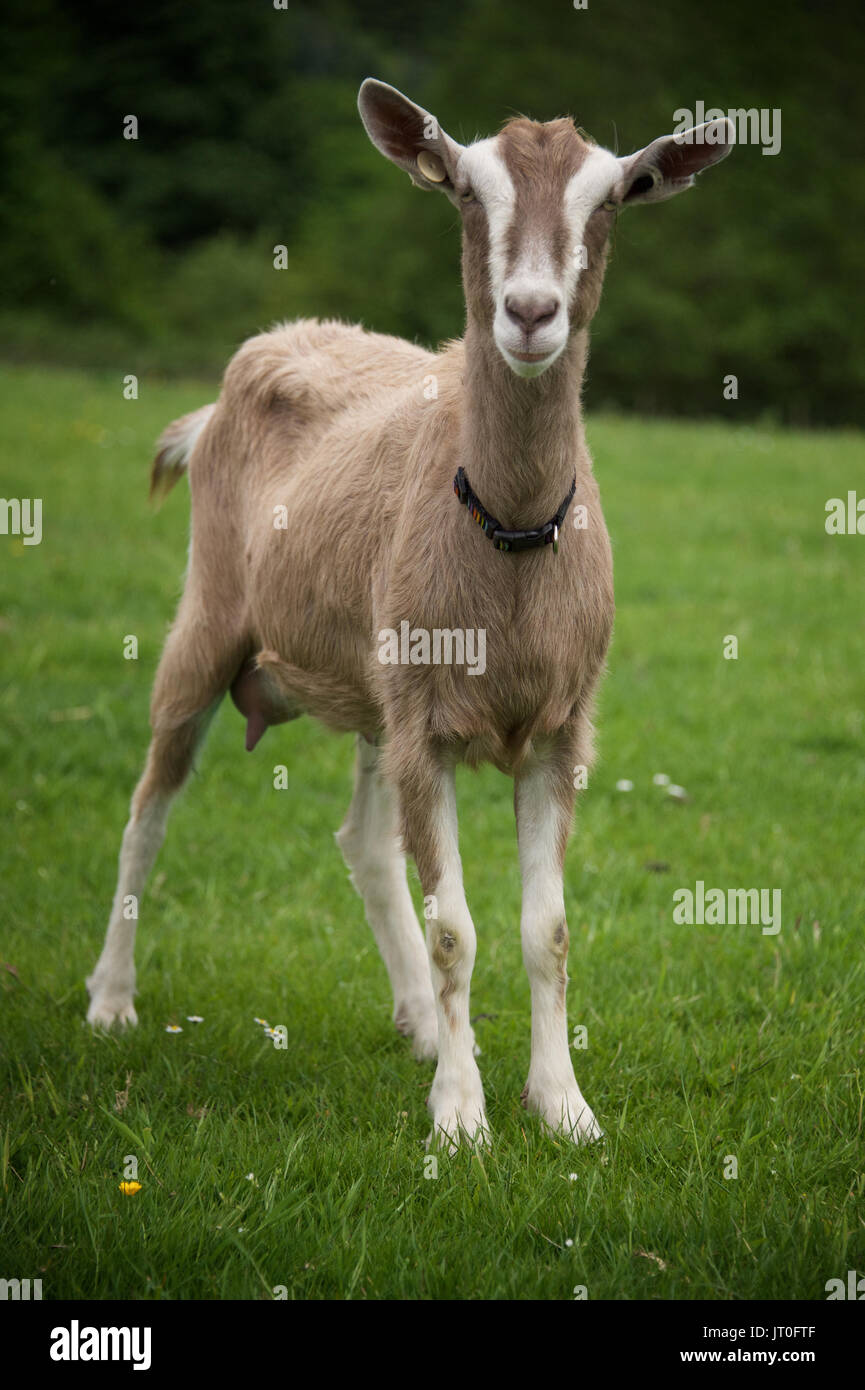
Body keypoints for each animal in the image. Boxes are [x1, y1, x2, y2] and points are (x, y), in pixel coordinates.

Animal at [87, 80, 732, 1150]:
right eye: (465, 189)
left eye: (615, 197)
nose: (528, 313)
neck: (508, 539)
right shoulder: (427, 726)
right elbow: (454, 927)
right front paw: (462, 1119)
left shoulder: (558, 727)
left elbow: (546, 928)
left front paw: (562, 1108)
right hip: (211, 616)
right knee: (150, 801)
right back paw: (111, 998)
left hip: (373, 681)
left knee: (362, 840)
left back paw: (423, 1028)